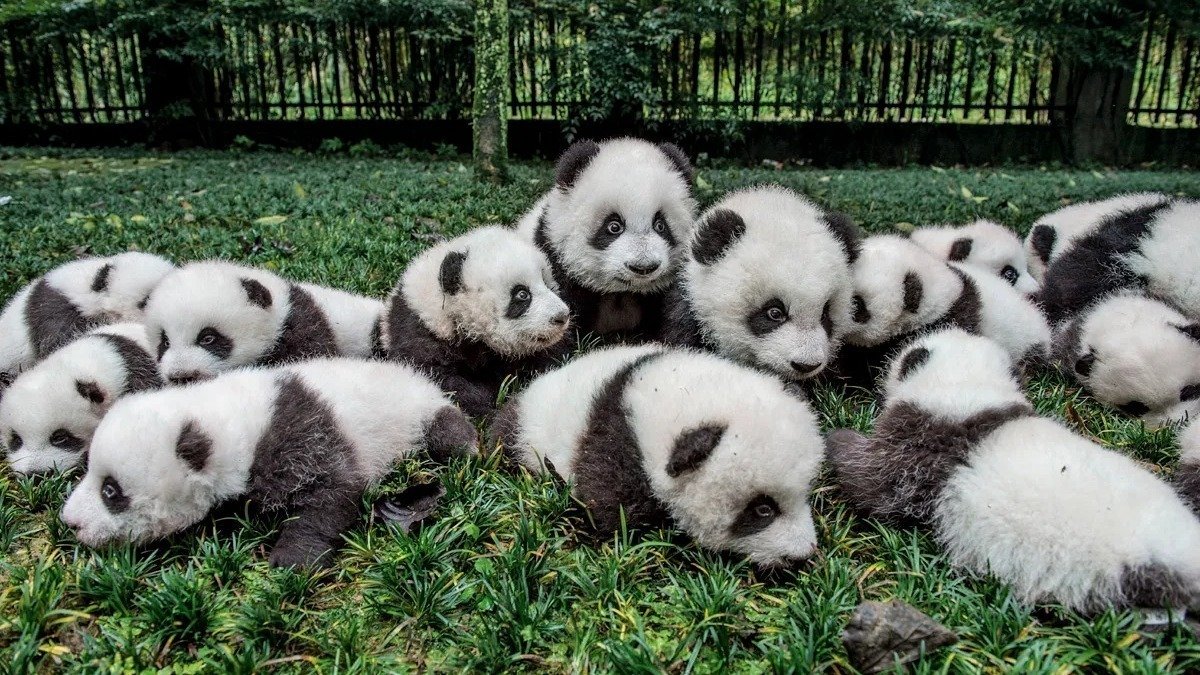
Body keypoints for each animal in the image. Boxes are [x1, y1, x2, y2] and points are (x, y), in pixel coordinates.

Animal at [59, 358, 477, 568]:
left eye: (111, 491)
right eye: (87, 471)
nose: (71, 522)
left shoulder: (300, 434)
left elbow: (334, 492)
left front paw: (290, 560)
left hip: (416, 411)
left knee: (447, 433)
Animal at [381, 225, 572, 417]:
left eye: (547, 284)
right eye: (522, 294)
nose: (562, 316)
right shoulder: (420, 333)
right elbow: (443, 380)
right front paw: (485, 408)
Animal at [491, 345, 825, 568]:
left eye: (805, 493)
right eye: (762, 510)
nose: (803, 554)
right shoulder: (619, 446)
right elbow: (610, 508)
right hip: (528, 433)